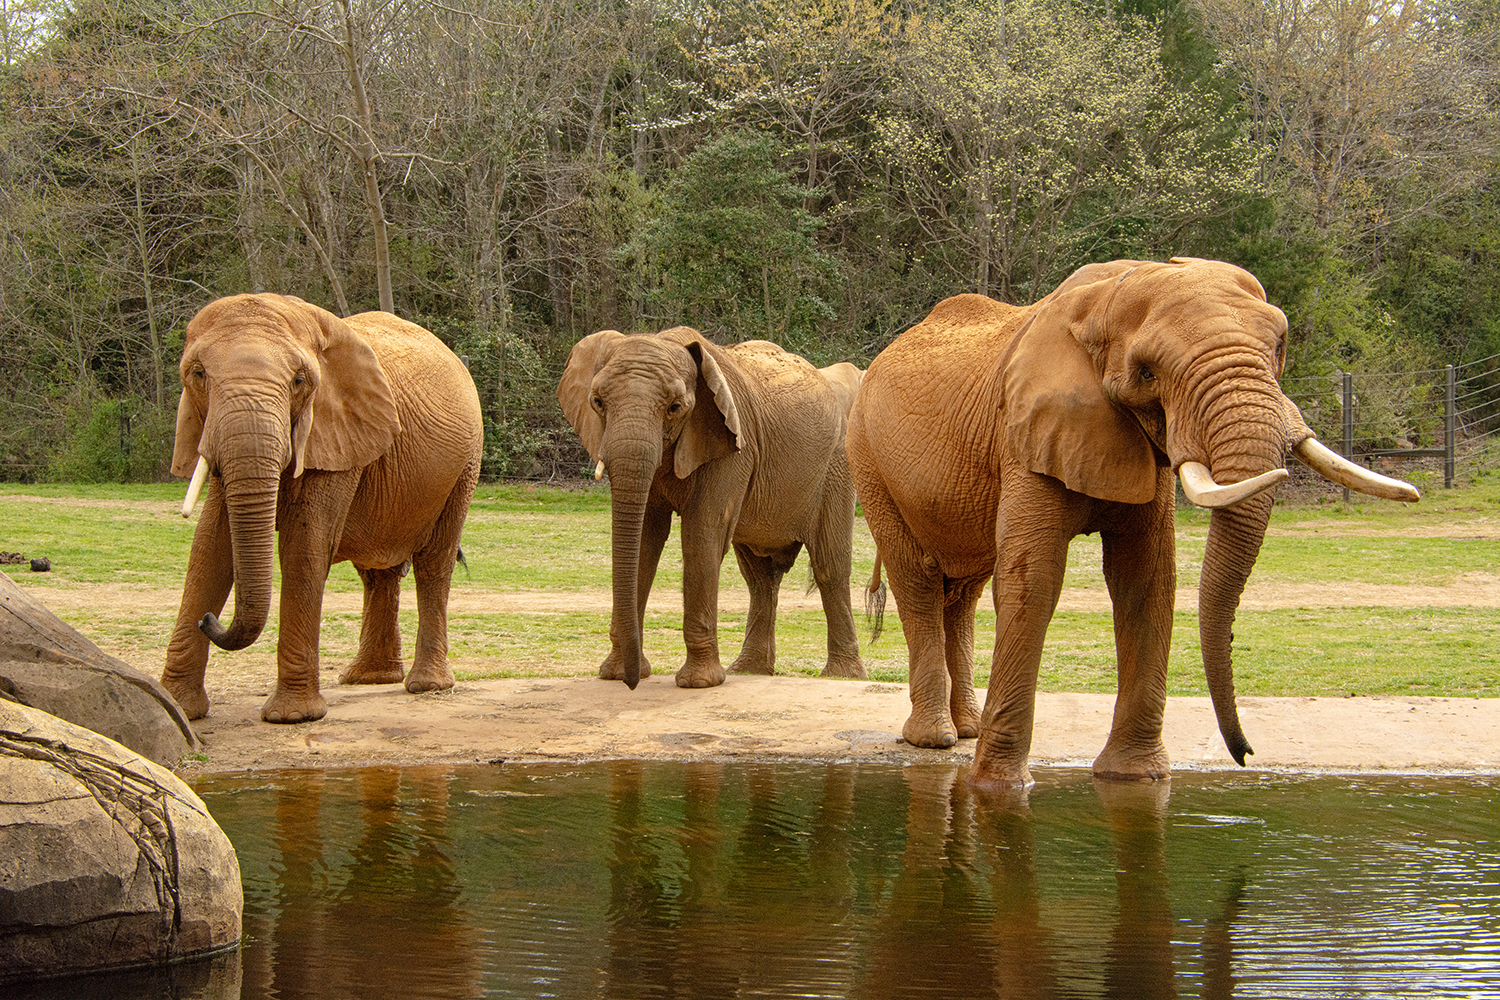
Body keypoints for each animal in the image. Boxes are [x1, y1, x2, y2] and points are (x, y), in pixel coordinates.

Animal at [161, 293, 483, 724]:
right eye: (197, 374)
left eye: (299, 381)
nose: (208, 620)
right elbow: (210, 550)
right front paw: (177, 707)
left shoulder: (338, 434)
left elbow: (304, 546)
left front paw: (293, 717)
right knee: (377, 573)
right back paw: (367, 678)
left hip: (464, 466)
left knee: (435, 561)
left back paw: (427, 686)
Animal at [558, 328, 865, 689]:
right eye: (597, 403)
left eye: (675, 407)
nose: (632, 683)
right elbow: (645, 539)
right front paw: (615, 673)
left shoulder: (734, 443)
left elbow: (702, 532)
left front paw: (699, 683)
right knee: (759, 576)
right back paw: (748, 670)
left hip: (837, 466)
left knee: (829, 565)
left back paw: (843, 676)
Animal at [845, 258, 1419, 789]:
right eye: (1148, 372)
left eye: (1279, 346)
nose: (1246, 753)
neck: (1108, 298)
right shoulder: (1025, 433)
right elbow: (1034, 578)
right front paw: (1000, 787)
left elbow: (1145, 577)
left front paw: (1135, 778)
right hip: (868, 457)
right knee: (918, 578)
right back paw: (935, 739)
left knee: (964, 590)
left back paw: (966, 729)